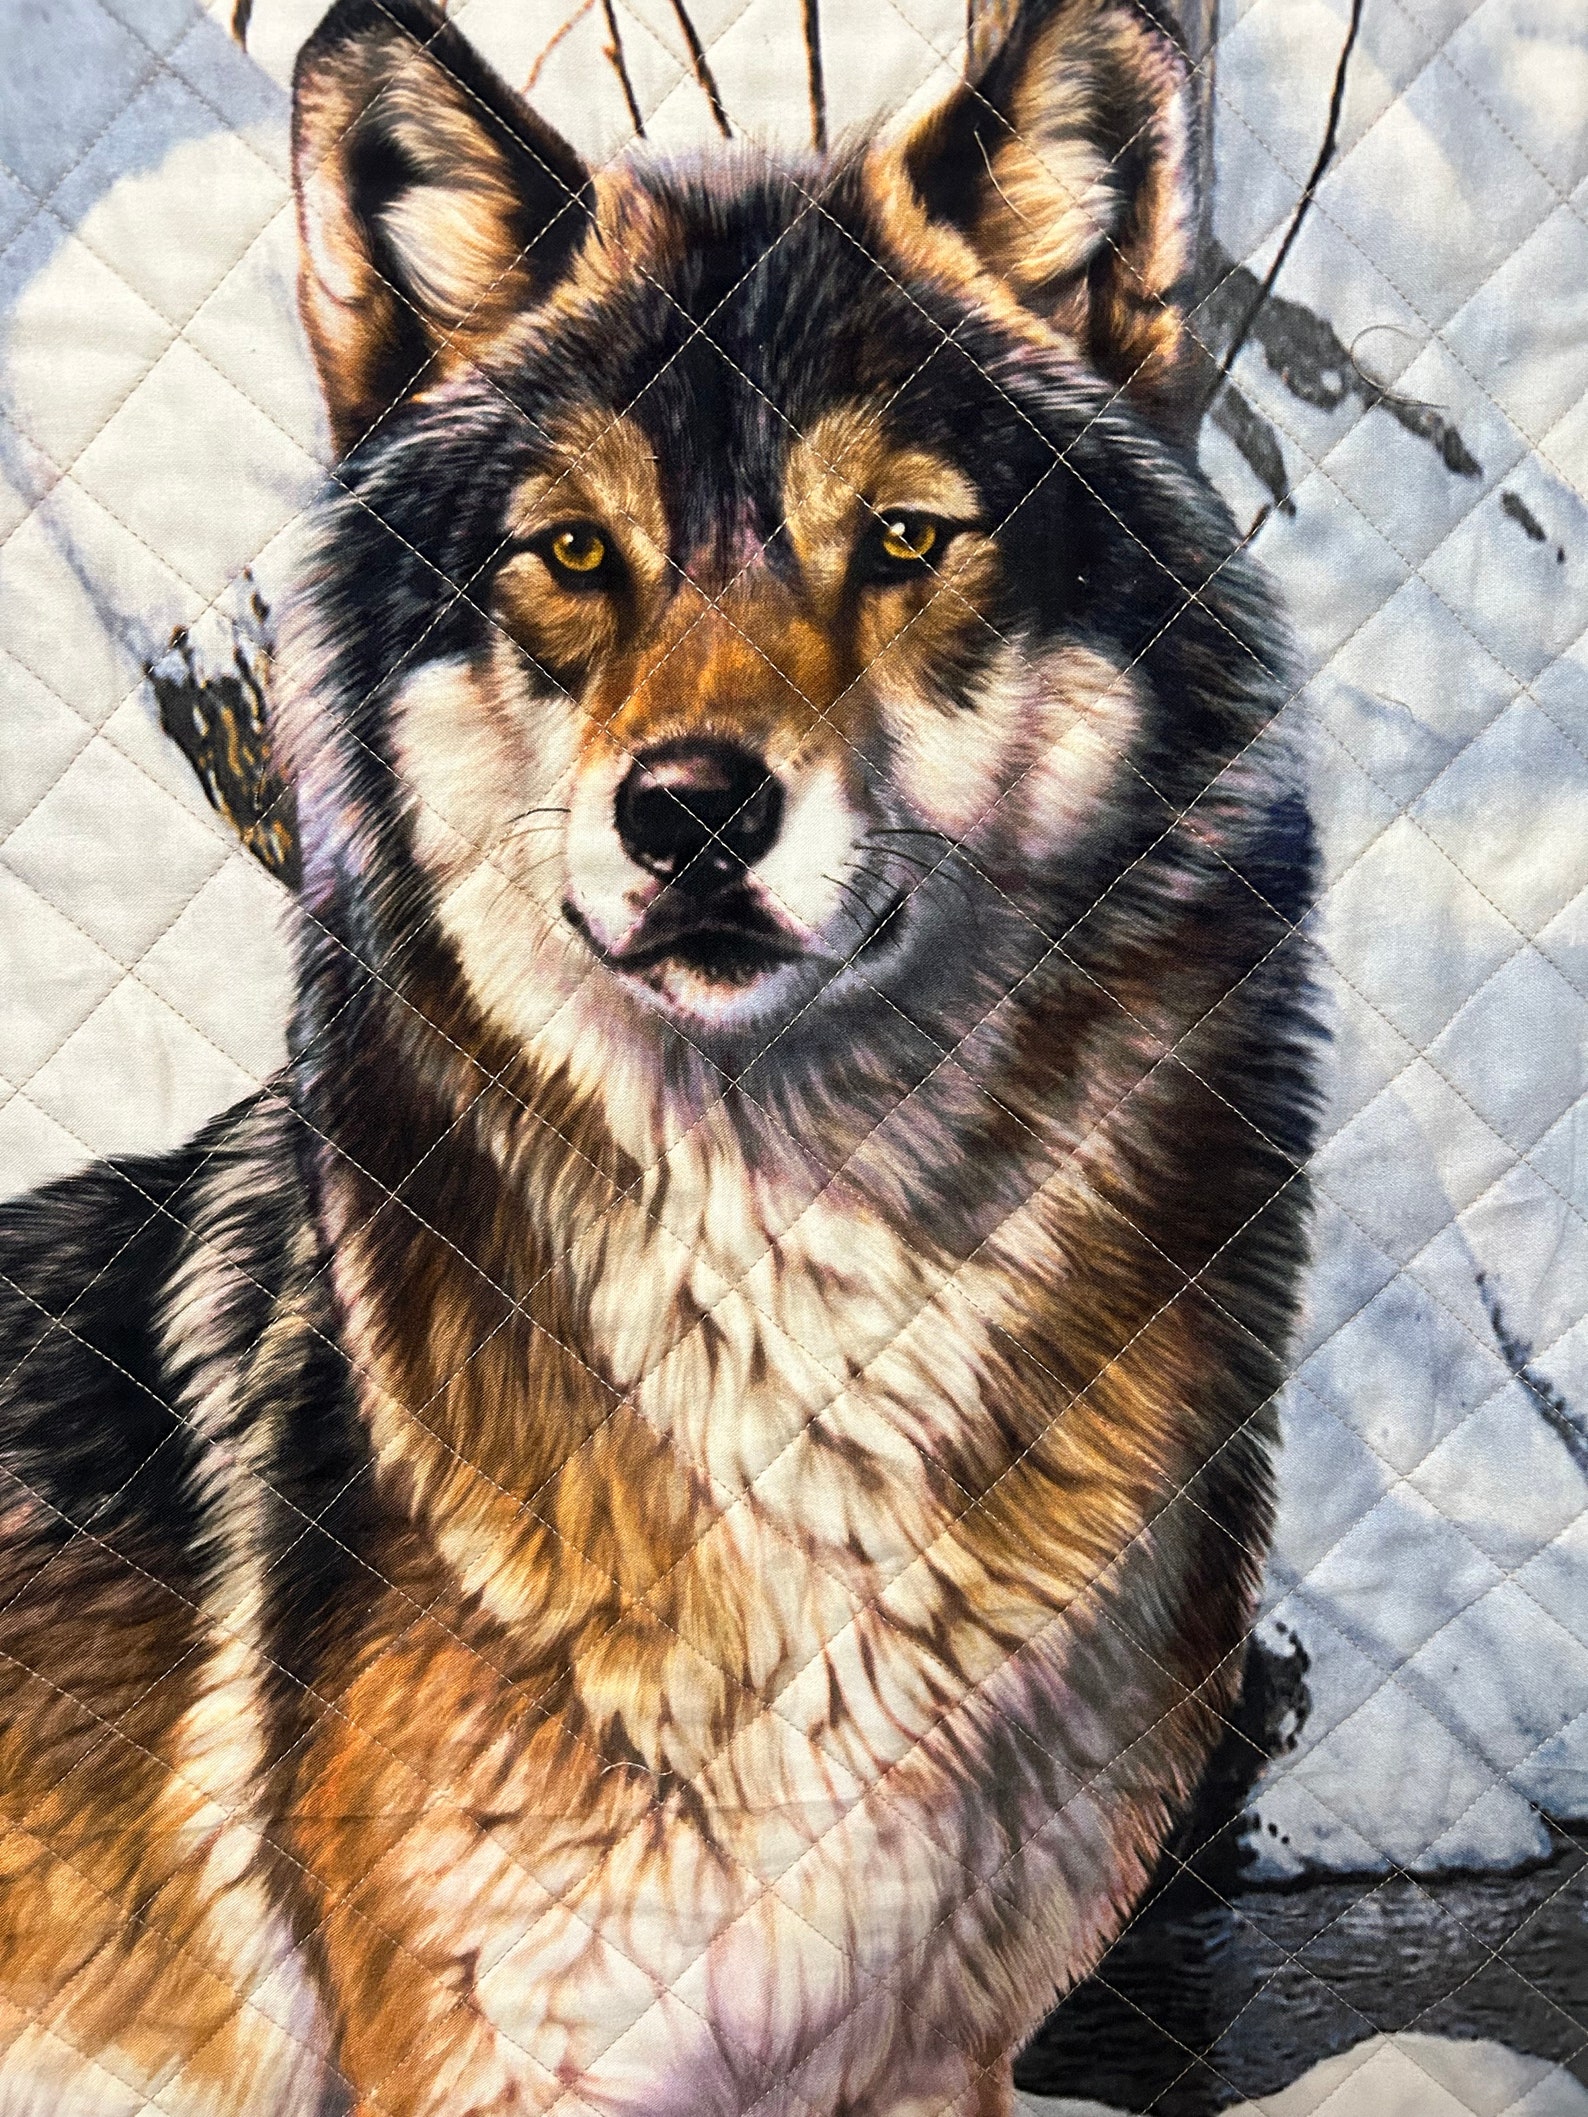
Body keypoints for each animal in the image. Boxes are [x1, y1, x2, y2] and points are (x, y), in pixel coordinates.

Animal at [0, 0, 1319, 2109]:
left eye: (900, 539)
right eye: (570, 553)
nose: (688, 810)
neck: (801, 1320)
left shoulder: (928, 2049)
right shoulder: (493, 2057)